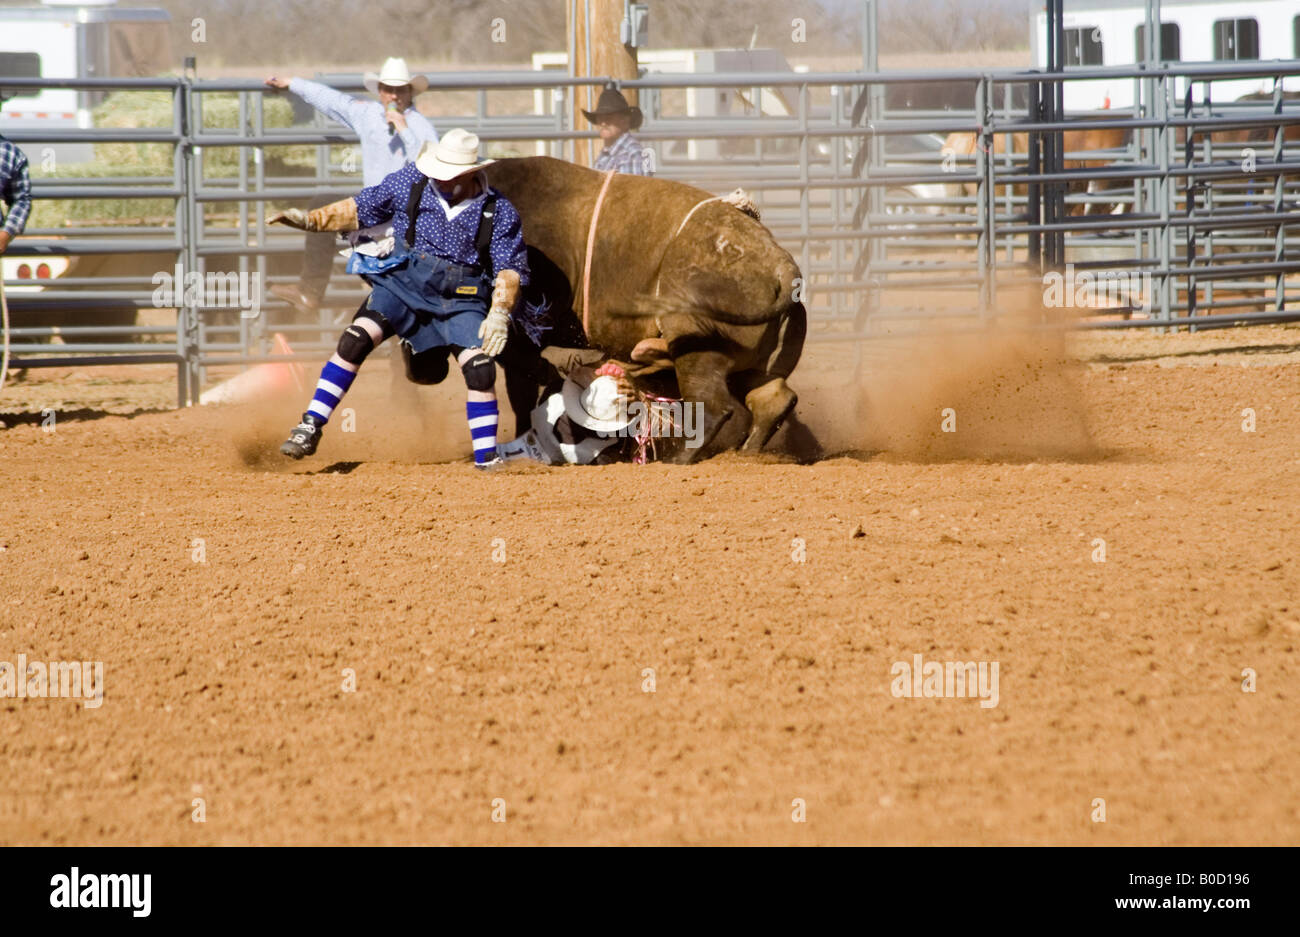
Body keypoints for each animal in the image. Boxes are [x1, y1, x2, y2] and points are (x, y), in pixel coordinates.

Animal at [483, 156, 806, 463]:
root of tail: (780, 264)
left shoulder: (522, 336)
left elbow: (522, 385)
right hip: (756, 364)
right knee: (772, 400)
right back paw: (746, 452)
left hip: (695, 342)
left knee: (714, 406)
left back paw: (679, 457)